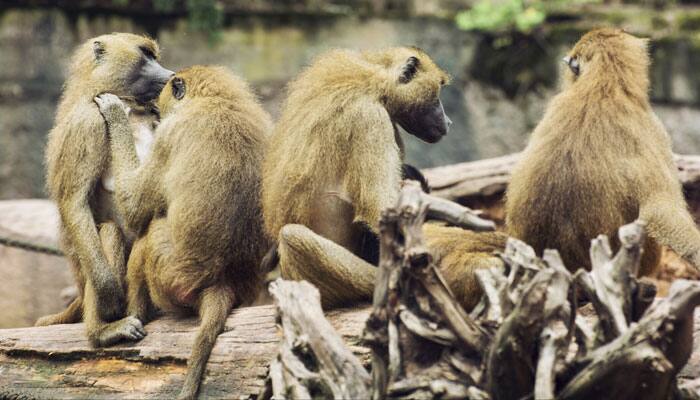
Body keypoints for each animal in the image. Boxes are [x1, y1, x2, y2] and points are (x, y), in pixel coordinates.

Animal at [37, 33, 173, 348]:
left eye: (154, 56)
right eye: (145, 55)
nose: (171, 74)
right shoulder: (88, 124)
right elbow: (74, 201)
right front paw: (108, 293)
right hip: (85, 272)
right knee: (109, 231)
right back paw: (103, 331)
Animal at [94, 65, 272, 400]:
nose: (155, 112)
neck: (217, 99)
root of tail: (223, 280)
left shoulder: (168, 136)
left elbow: (134, 209)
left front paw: (116, 113)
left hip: (169, 277)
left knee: (148, 236)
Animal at [261, 47, 506, 309]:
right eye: (437, 95)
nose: (448, 121)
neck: (372, 83)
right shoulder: (371, 119)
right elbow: (383, 210)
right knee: (292, 237)